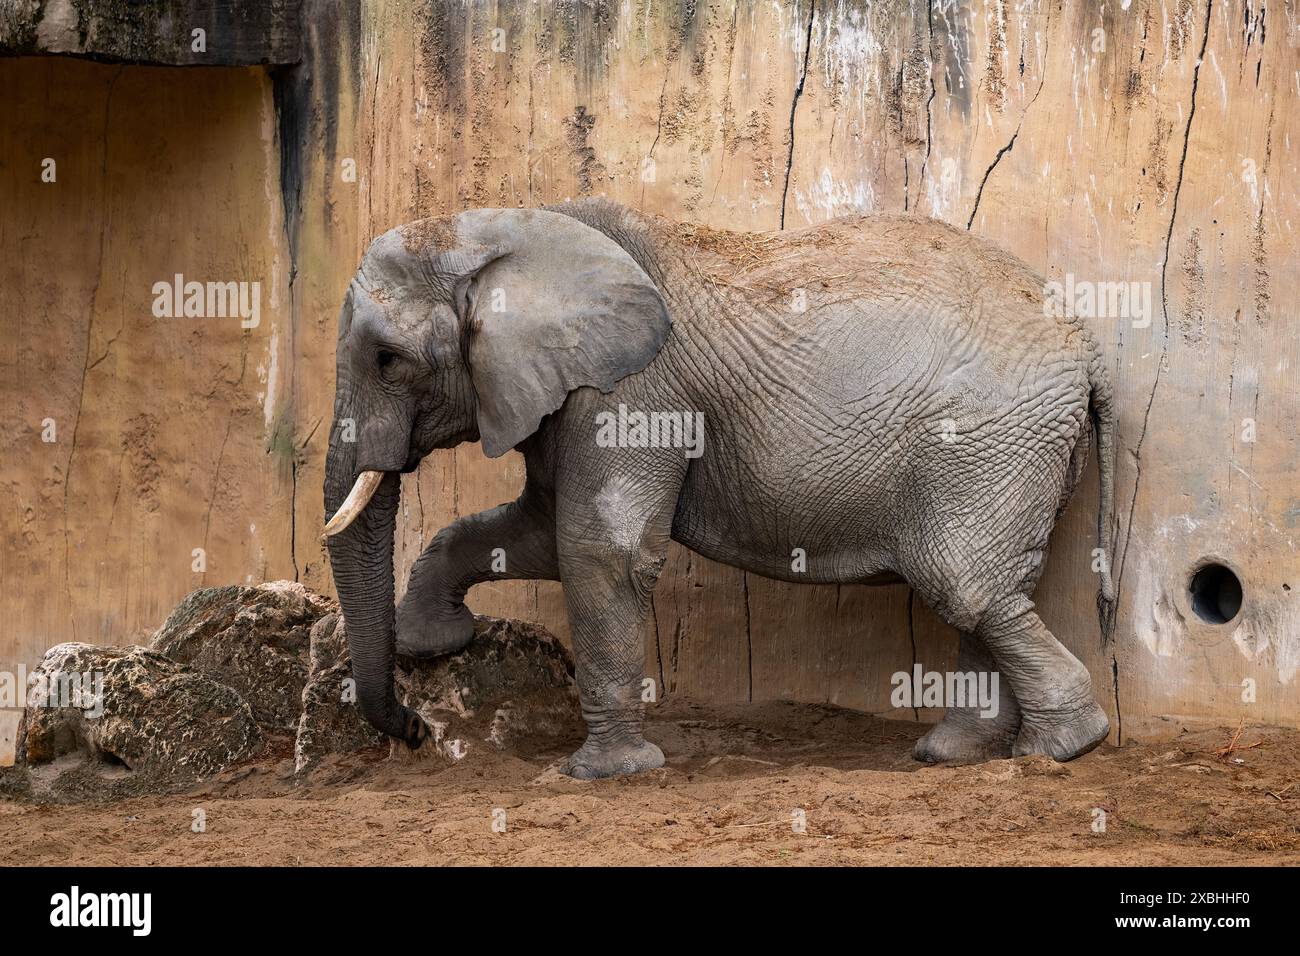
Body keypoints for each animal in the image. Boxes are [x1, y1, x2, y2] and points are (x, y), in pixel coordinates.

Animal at [323, 199, 1117, 779]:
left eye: (388, 360)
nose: (415, 731)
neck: (519, 228)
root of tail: (1085, 348)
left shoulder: (635, 390)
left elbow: (602, 551)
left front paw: (608, 774)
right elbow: (538, 532)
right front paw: (432, 641)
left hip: (988, 441)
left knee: (965, 584)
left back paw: (1063, 747)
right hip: (1010, 451)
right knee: (990, 588)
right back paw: (958, 754)